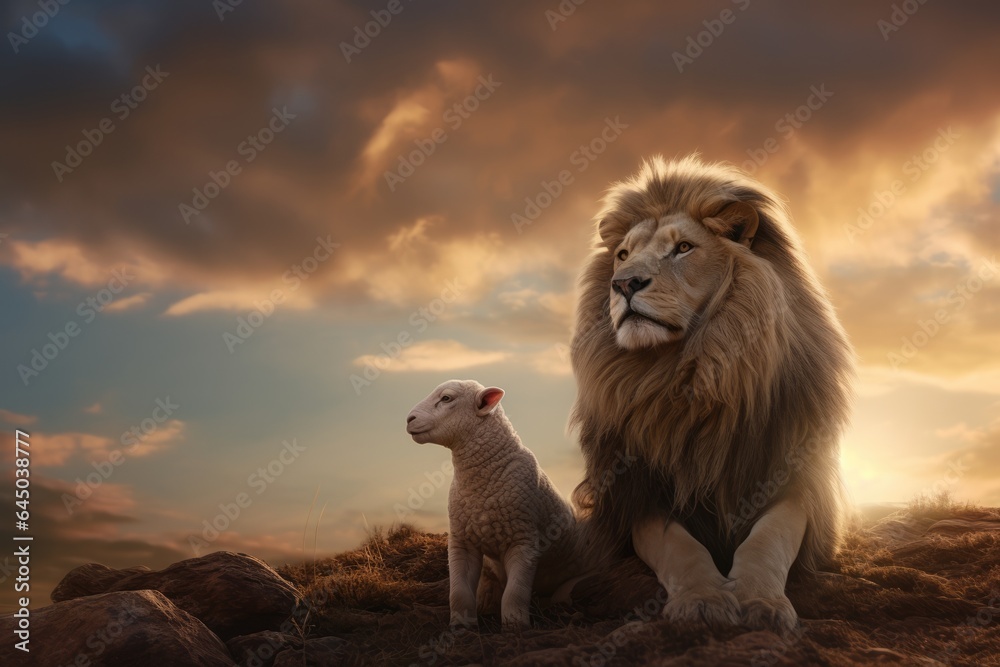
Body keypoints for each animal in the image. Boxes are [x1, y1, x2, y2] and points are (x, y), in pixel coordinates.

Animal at [405, 379, 582, 629]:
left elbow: (515, 593)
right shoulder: (462, 541)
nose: (409, 419)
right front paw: (461, 626)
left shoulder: (524, 541)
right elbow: (459, 593)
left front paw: (515, 626)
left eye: (447, 398)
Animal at [569, 155, 854, 633]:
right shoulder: (635, 491)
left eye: (683, 248)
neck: (691, 374)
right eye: (623, 255)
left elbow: (769, 539)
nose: (623, 283)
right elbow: (679, 548)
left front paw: (760, 601)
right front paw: (702, 600)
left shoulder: (792, 475)